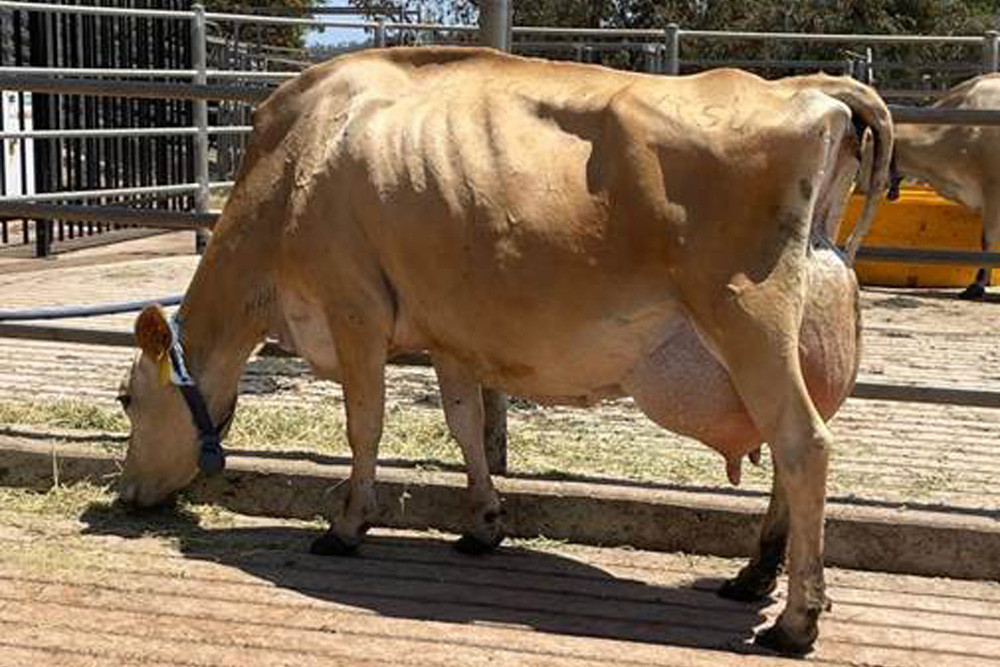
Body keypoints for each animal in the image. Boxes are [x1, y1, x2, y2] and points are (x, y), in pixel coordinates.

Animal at [116, 48, 892, 654]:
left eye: (125, 399)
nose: (124, 496)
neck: (292, 166)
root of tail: (808, 88)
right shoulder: (447, 331)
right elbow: (464, 425)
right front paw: (483, 524)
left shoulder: (353, 309)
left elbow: (365, 426)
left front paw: (346, 524)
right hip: (787, 336)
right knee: (790, 452)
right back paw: (753, 576)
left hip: (745, 317)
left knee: (802, 445)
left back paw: (795, 621)